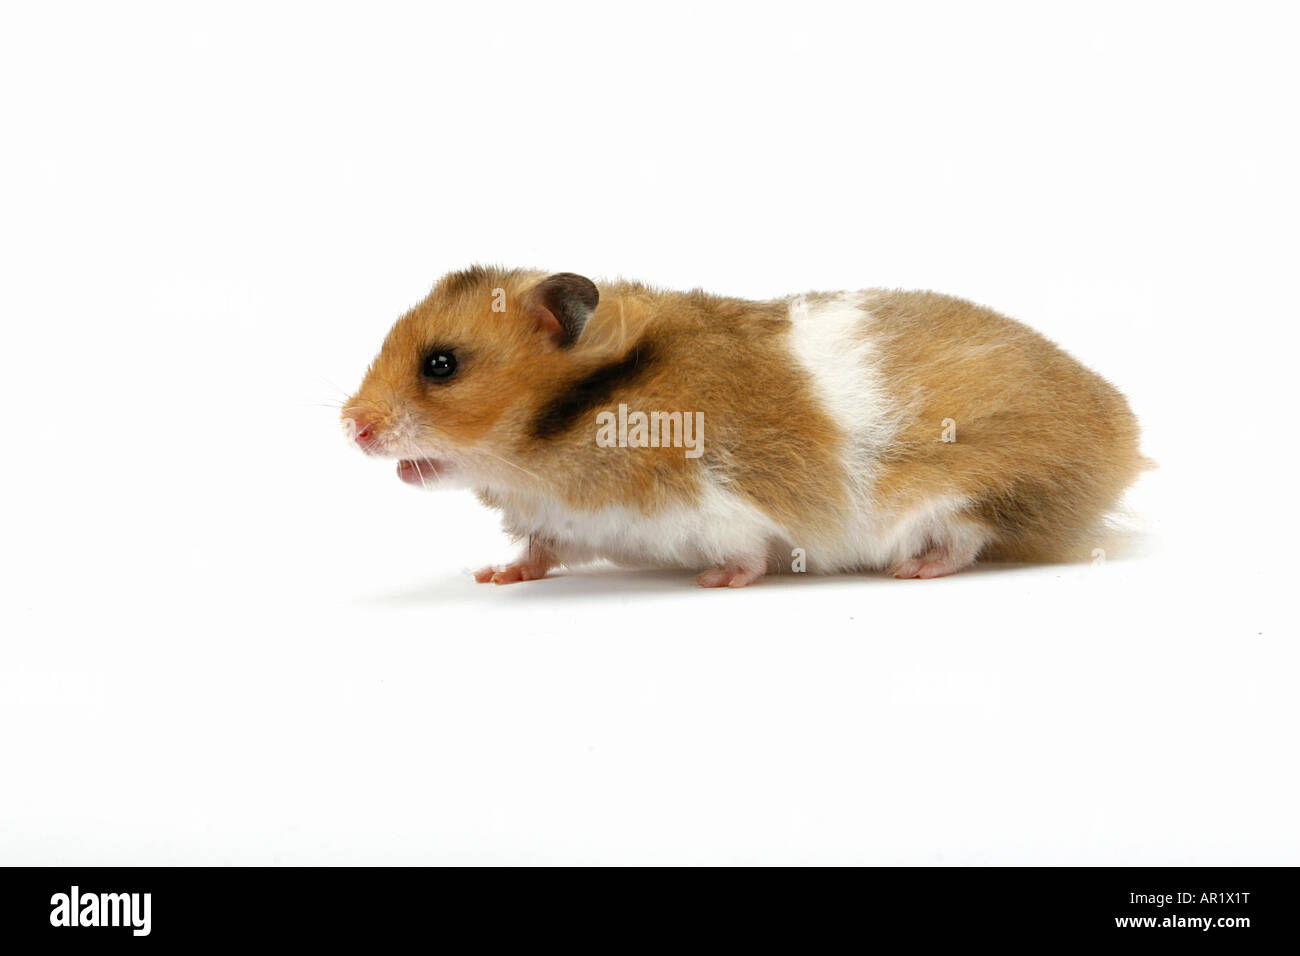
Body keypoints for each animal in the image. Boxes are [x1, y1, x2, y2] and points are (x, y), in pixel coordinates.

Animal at [342, 267, 1147, 587]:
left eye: (441, 364)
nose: (352, 428)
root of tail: (1122, 433)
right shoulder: (561, 524)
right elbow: (541, 551)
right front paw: (493, 575)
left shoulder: (716, 506)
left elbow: (750, 550)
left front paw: (715, 582)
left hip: (975, 485)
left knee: (968, 535)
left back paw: (912, 570)